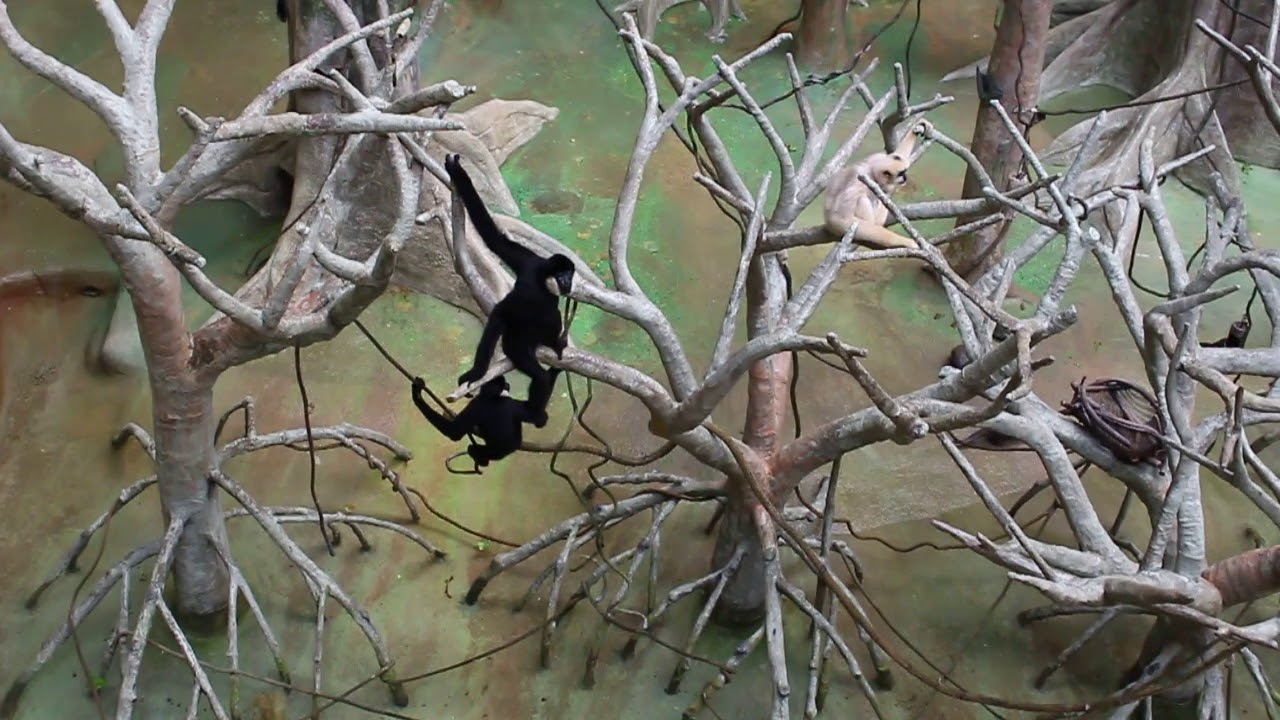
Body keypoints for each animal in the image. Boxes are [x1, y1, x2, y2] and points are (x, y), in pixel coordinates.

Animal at [412, 372, 559, 468]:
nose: (507, 385)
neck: (494, 397)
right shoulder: (511, 402)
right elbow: (537, 416)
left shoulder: (476, 403)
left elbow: (454, 433)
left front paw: (417, 396)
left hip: (491, 452)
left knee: (472, 448)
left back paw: (482, 461)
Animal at [444, 153, 575, 427]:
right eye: (563, 276)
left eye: (570, 275)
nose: (568, 283)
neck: (541, 277)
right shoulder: (529, 285)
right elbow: (500, 314)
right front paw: (477, 372)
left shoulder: (526, 259)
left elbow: (495, 239)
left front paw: (456, 172)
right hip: (516, 346)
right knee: (538, 371)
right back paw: (534, 413)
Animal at [823, 119, 932, 250]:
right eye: (901, 173)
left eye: (904, 171)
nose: (905, 177)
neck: (871, 171)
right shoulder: (857, 182)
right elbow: (840, 219)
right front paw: (905, 241)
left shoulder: (876, 157)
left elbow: (898, 153)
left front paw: (919, 126)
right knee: (863, 199)